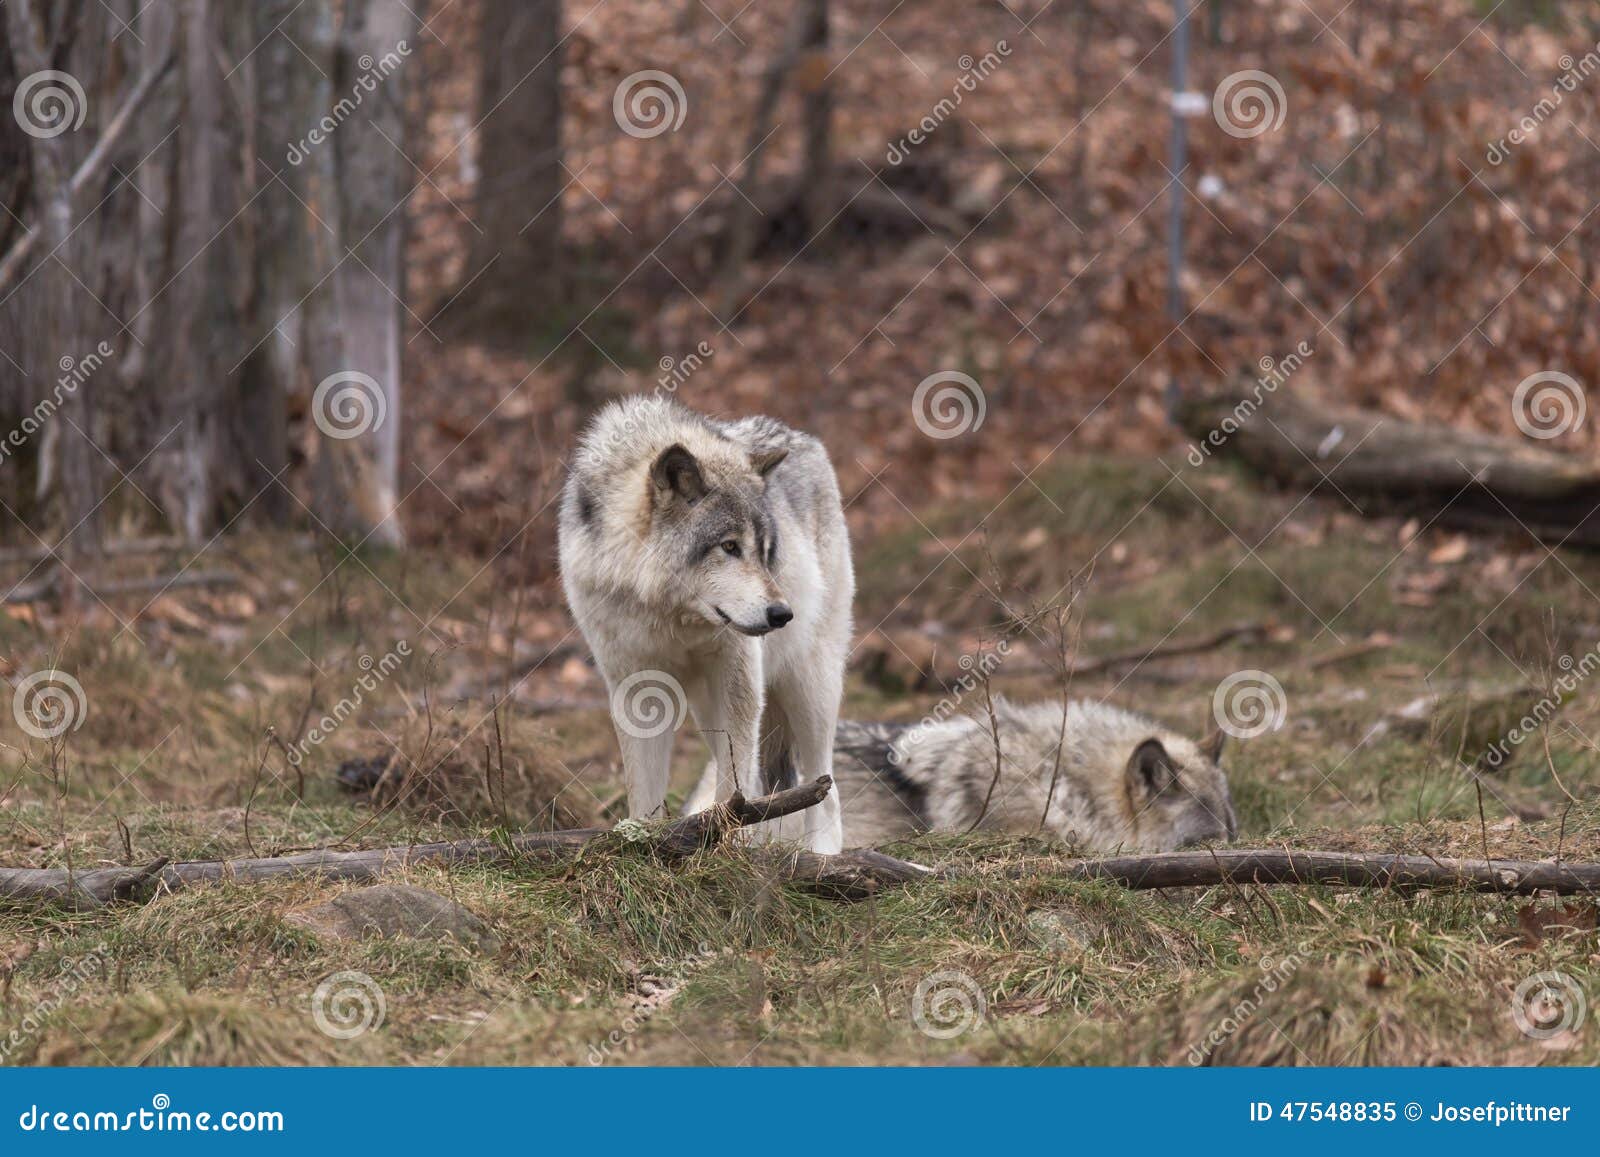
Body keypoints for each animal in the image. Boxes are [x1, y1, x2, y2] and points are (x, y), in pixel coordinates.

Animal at [557, 395, 854, 853]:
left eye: (765, 550)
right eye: (729, 547)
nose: (782, 615)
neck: (667, 612)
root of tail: (803, 437)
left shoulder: (740, 679)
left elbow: (735, 783)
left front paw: (725, 846)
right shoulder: (635, 684)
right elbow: (644, 791)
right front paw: (645, 846)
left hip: (809, 686)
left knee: (824, 788)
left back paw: (821, 856)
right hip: (707, 707)